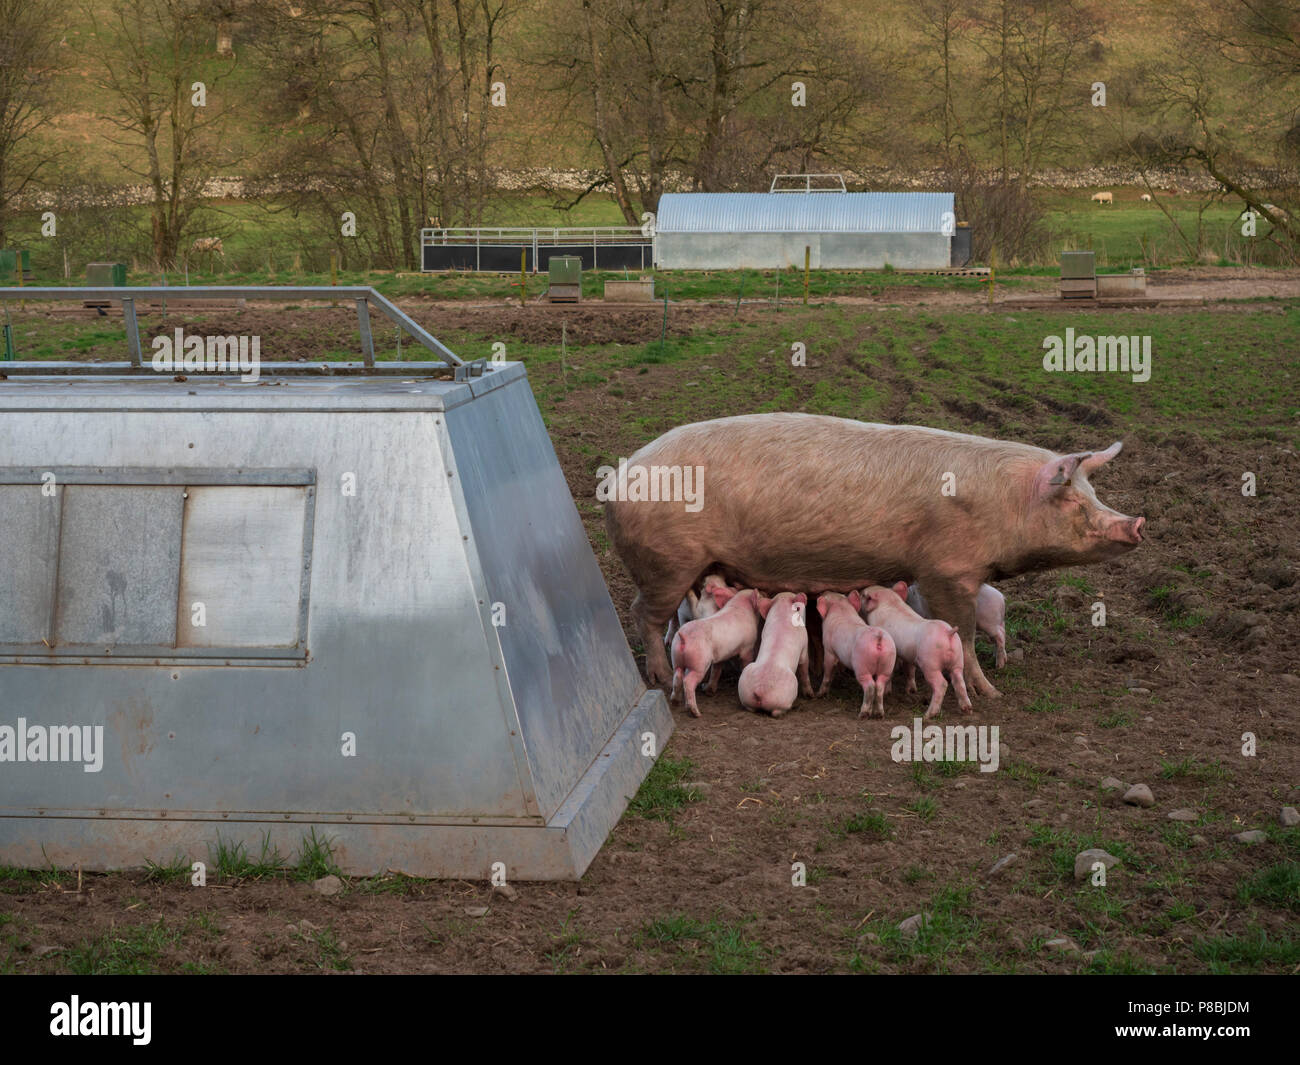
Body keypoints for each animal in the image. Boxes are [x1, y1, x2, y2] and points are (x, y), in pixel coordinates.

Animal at [604, 414, 1144, 697]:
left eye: (1094, 493)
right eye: (1072, 502)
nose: (1137, 524)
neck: (1004, 504)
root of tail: (618, 477)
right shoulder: (947, 571)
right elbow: (963, 633)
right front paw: (990, 693)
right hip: (665, 563)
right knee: (640, 614)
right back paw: (658, 679)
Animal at [670, 586, 763, 717]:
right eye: (761, 597)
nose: (766, 595)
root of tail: (684, 638)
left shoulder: (721, 655)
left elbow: (716, 670)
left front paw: (709, 691)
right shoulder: (747, 647)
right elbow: (746, 661)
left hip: (676, 656)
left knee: (677, 676)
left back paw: (675, 702)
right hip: (699, 663)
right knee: (688, 681)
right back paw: (696, 713)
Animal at [862, 583, 971, 718]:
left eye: (864, 595)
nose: (860, 591)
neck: (888, 601)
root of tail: (949, 633)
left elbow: (892, 671)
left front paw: (888, 692)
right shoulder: (908, 655)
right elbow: (910, 669)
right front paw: (910, 691)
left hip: (930, 663)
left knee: (941, 684)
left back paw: (928, 715)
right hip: (958, 659)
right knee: (959, 681)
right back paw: (967, 709)